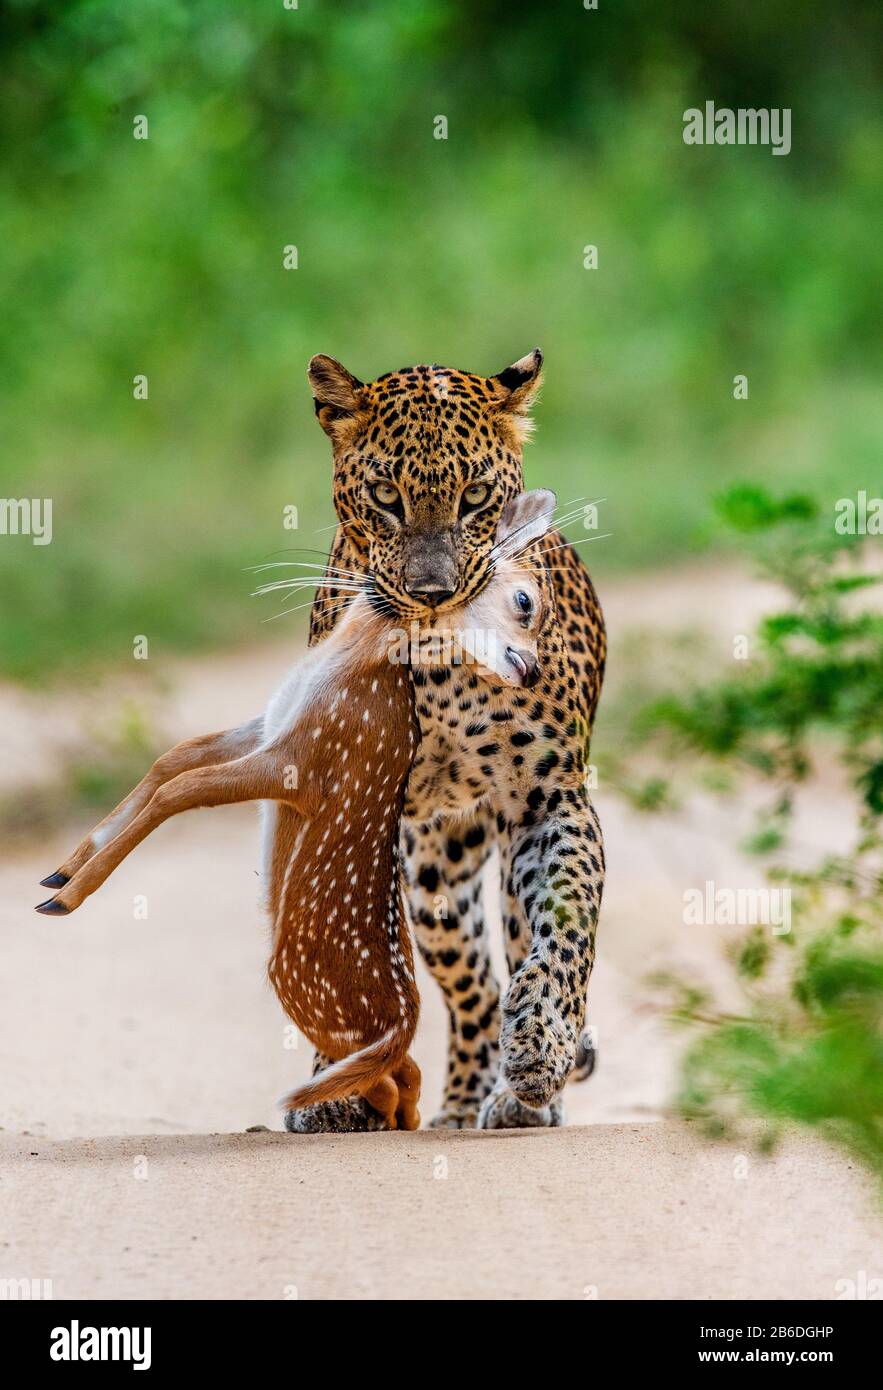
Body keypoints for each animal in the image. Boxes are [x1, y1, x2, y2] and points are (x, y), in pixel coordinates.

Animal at [286, 348, 606, 1132]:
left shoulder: (552, 798)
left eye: (475, 496)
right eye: (384, 495)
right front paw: (340, 1087)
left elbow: (566, 922)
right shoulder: (353, 811)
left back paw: (517, 1096)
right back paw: (459, 1101)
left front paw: (544, 1044)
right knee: (474, 989)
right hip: (433, 870)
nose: (432, 594)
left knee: (511, 953)